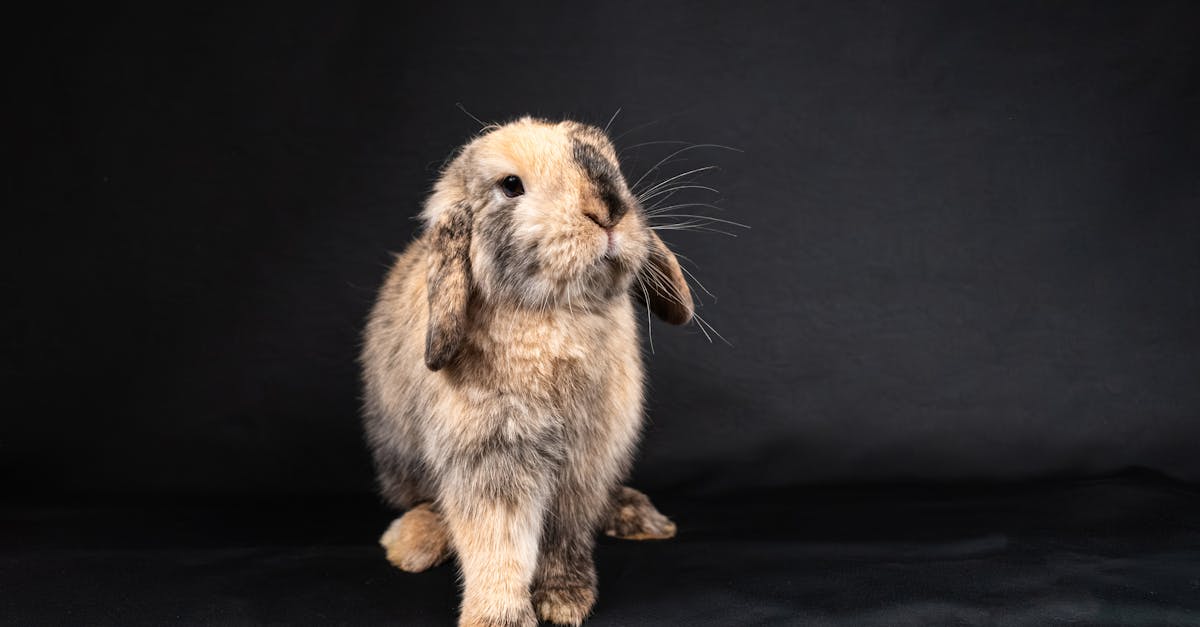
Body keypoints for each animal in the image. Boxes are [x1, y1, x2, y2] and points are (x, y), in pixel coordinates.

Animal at [360, 117, 691, 624]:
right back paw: (411, 544)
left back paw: (642, 519)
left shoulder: (584, 461)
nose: (609, 211)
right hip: (400, 458)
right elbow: (497, 542)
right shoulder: (492, 456)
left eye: (612, 166)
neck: (554, 312)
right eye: (511, 185)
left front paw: (564, 600)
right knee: (425, 503)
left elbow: (564, 535)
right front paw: (500, 617)